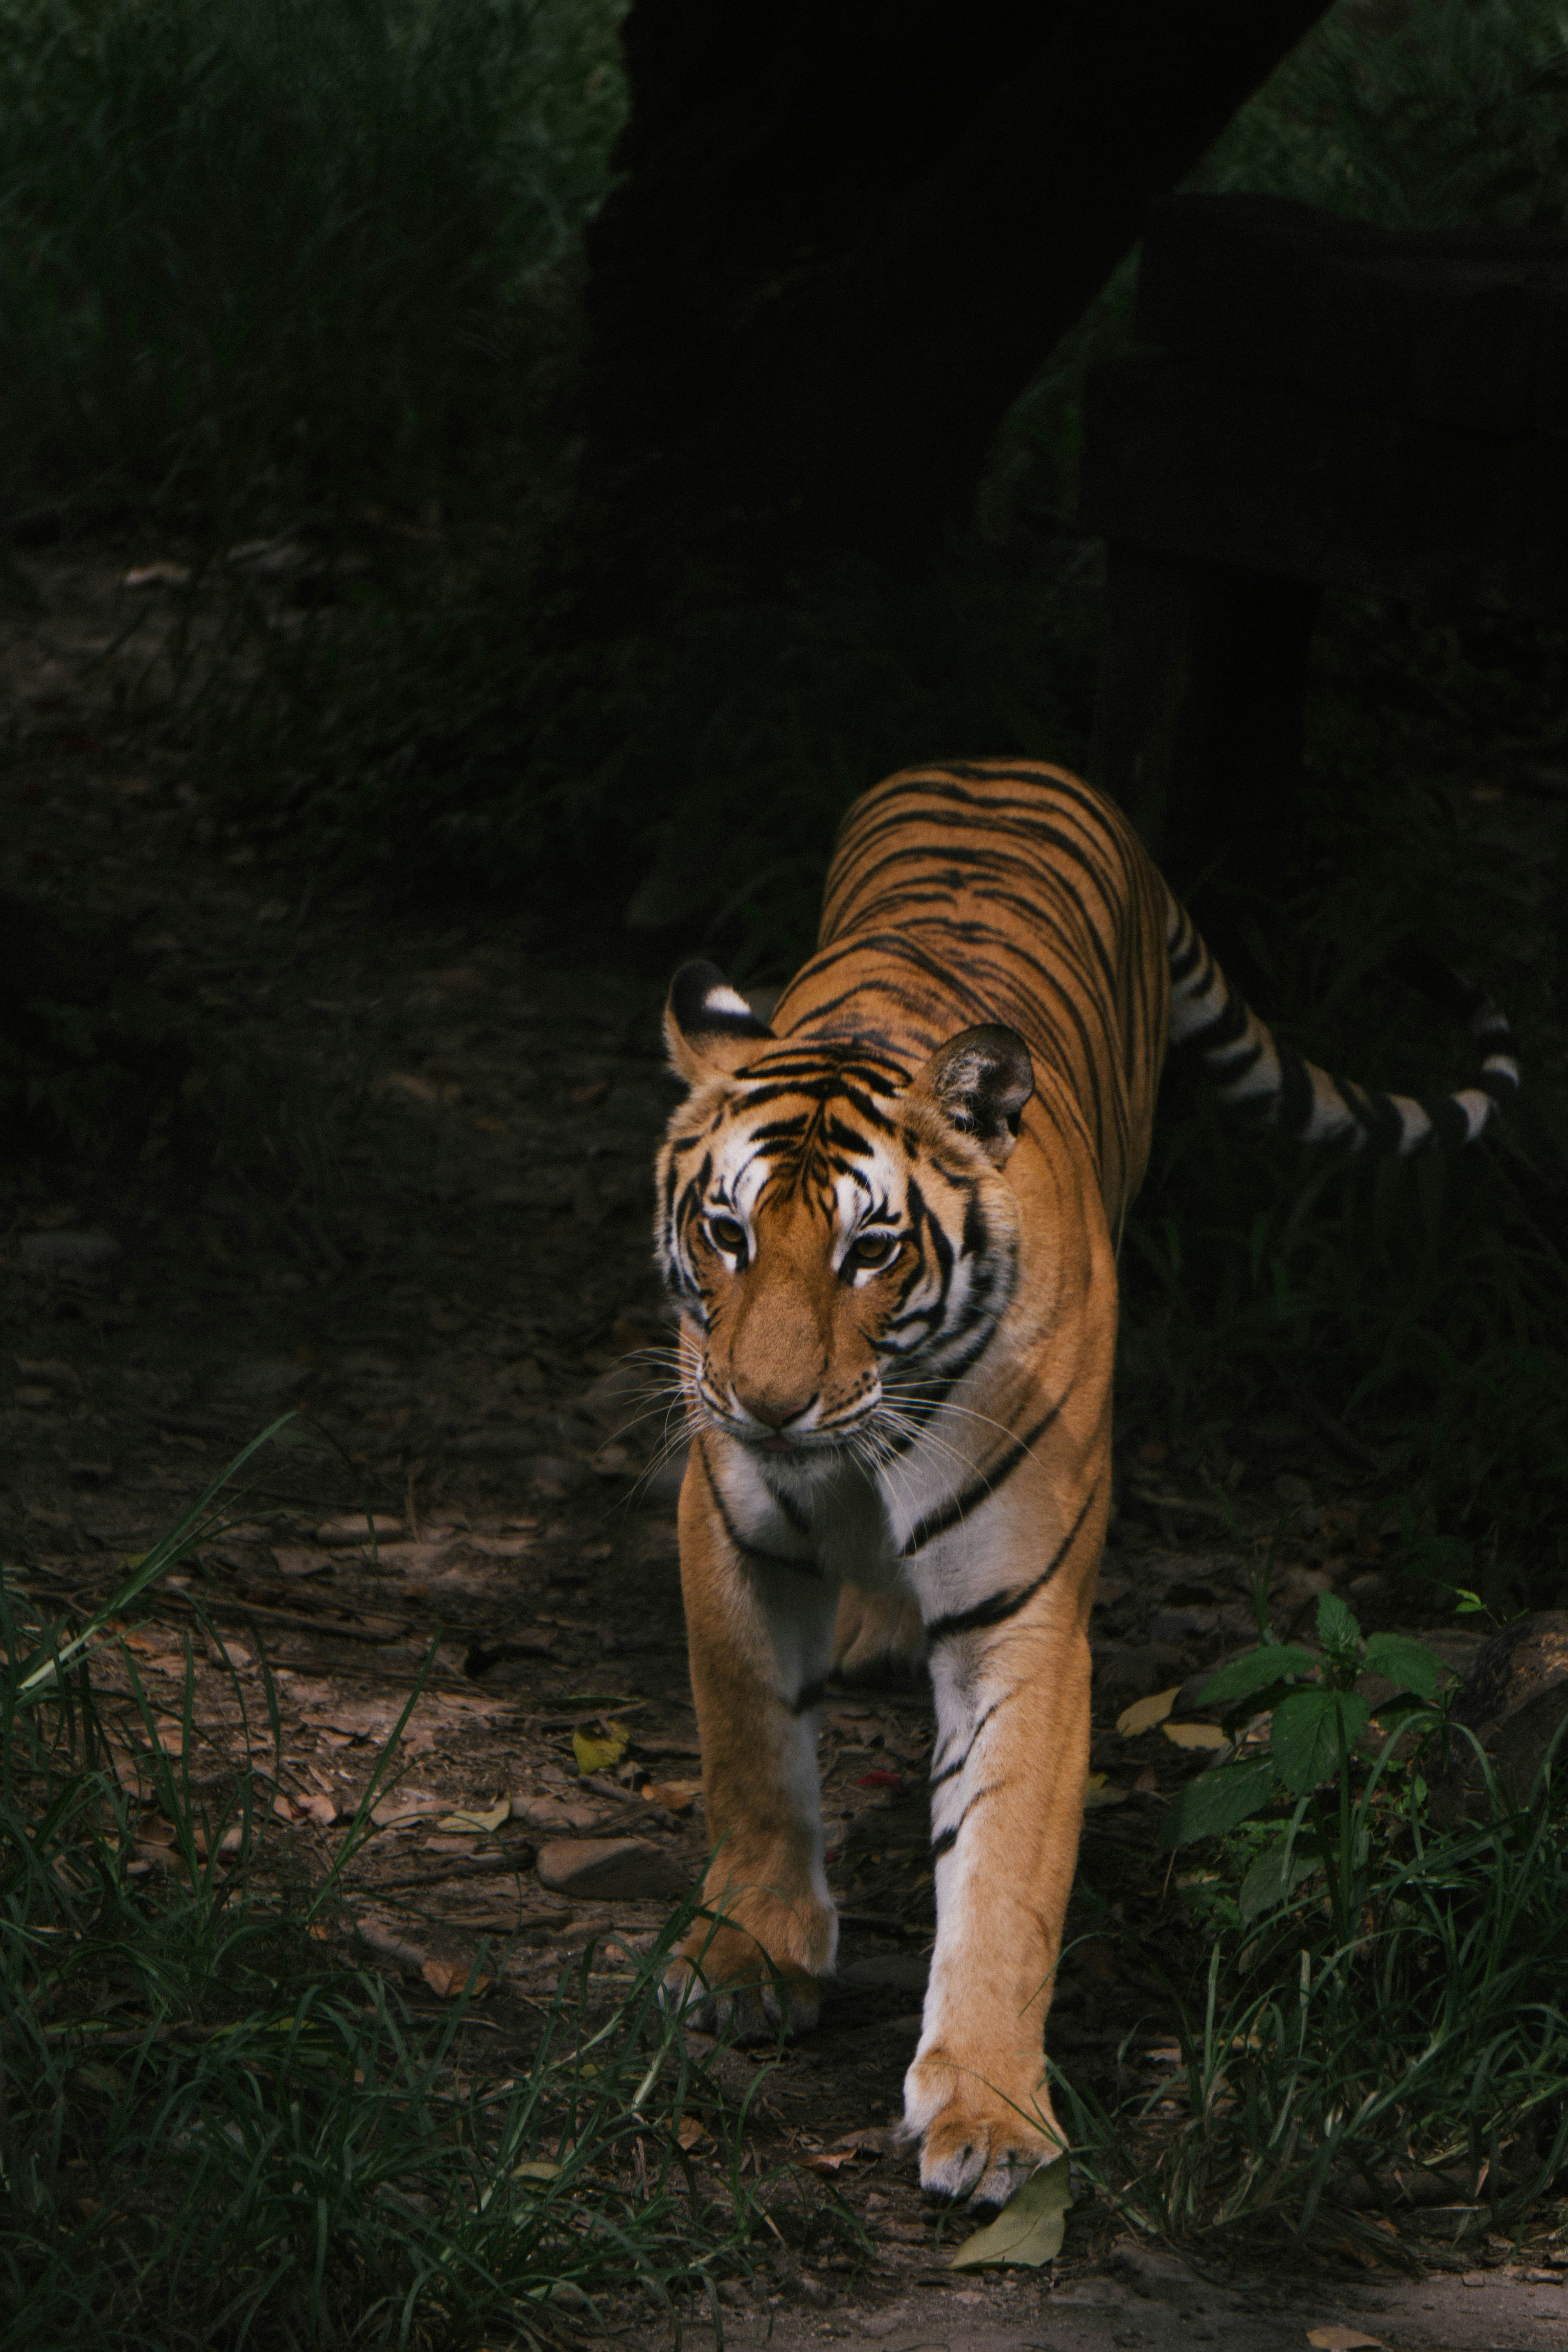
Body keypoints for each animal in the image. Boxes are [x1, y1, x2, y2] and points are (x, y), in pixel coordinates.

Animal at [652, 757, 1516, 2213]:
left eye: (871, 1252)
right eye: (726, 1234)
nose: (768, 1405)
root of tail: (1003, 760)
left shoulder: (1025, 1613)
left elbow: (1003, 1869)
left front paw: (993, 2116)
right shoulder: (730, 1525)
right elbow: (751, 1749)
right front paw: (749, 1959)